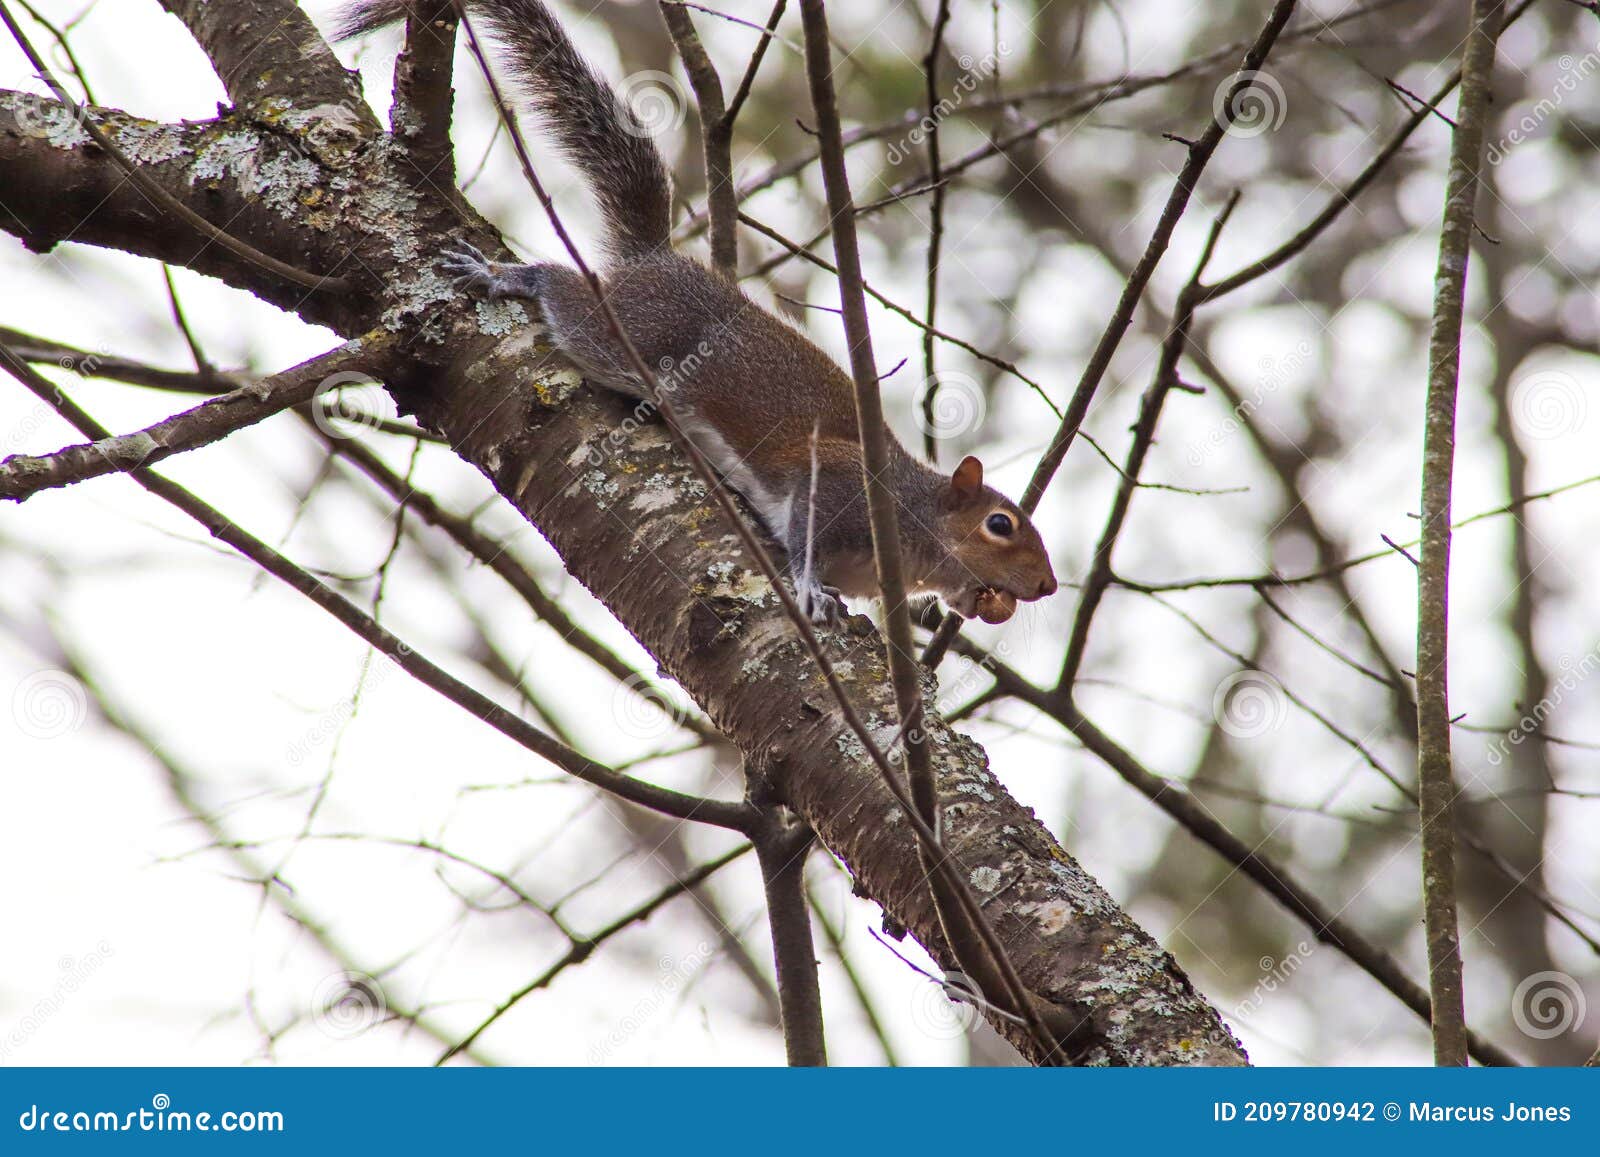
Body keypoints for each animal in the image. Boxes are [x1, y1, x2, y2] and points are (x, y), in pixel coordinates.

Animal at [337, 0, 1057, 624]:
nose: (1048, 587)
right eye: (1000, 524)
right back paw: (507, 275)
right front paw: (811, 588)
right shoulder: (838, 485)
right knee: (568, 298)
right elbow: (805, 537)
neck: (913, 522)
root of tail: (655, 259)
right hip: (624, 333)